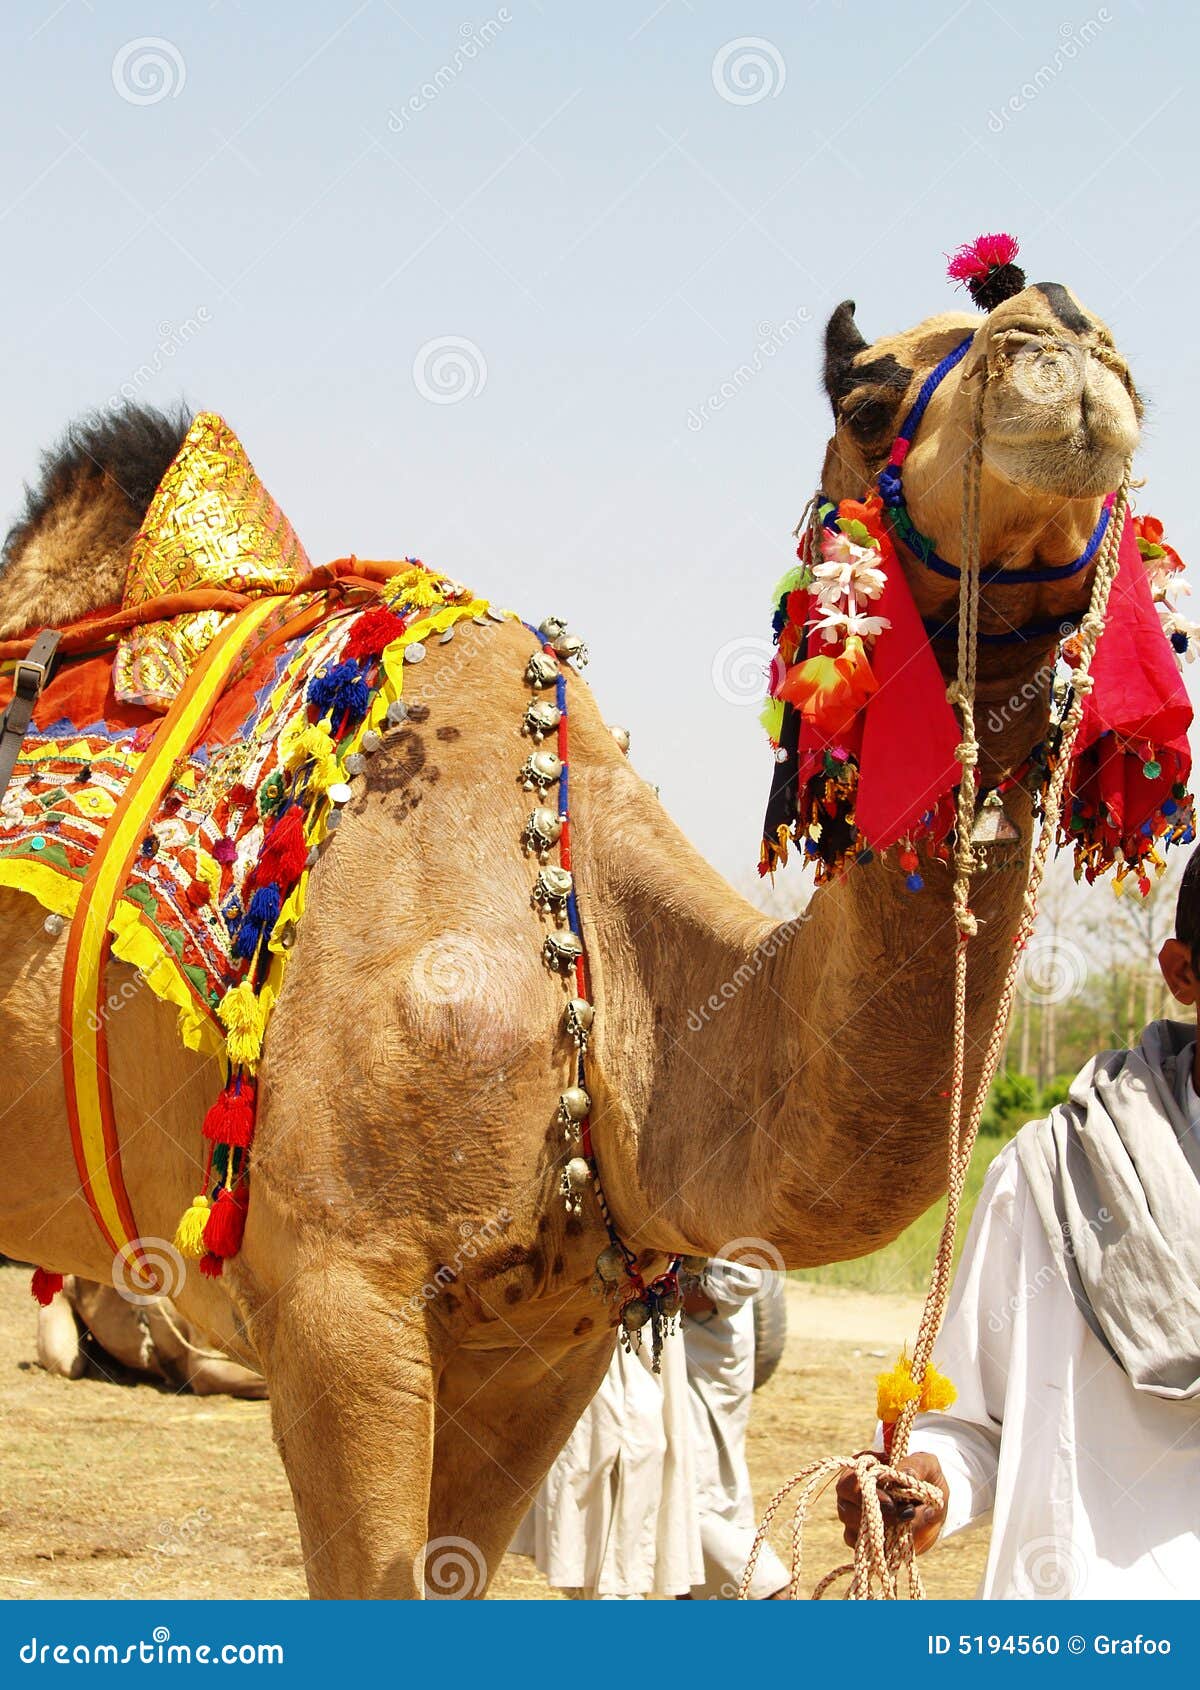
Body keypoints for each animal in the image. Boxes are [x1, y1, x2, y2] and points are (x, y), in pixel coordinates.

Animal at [0, 275, 1141, 1597]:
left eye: (1111, 341)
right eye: (864, 400)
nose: (1053, 346)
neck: (597, 981)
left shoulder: (550, 1341)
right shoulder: (335, 1297)